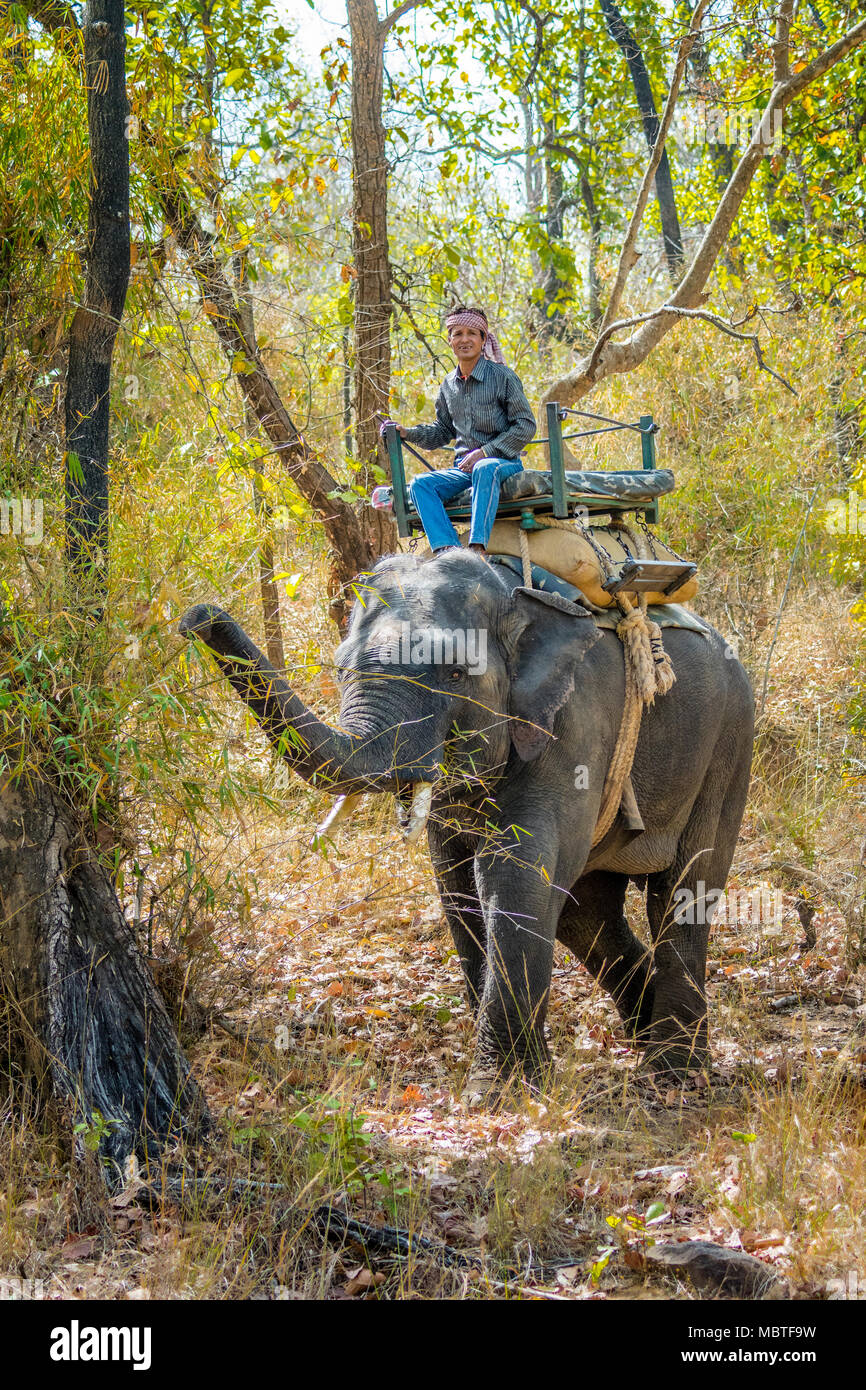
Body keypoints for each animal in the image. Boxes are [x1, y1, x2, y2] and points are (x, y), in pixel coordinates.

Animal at [179, 548, 754, 1091]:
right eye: (342, 670)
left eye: (455, 673)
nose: (195, 617)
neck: (512, 597)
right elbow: (457, 886)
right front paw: (520, 1080)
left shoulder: (575, 727)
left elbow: (513, 876)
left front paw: (494, 1092)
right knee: (586, 913)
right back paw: (644, 1037)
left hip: (729, 743)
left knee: (683, 891)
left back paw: (673, 1073)